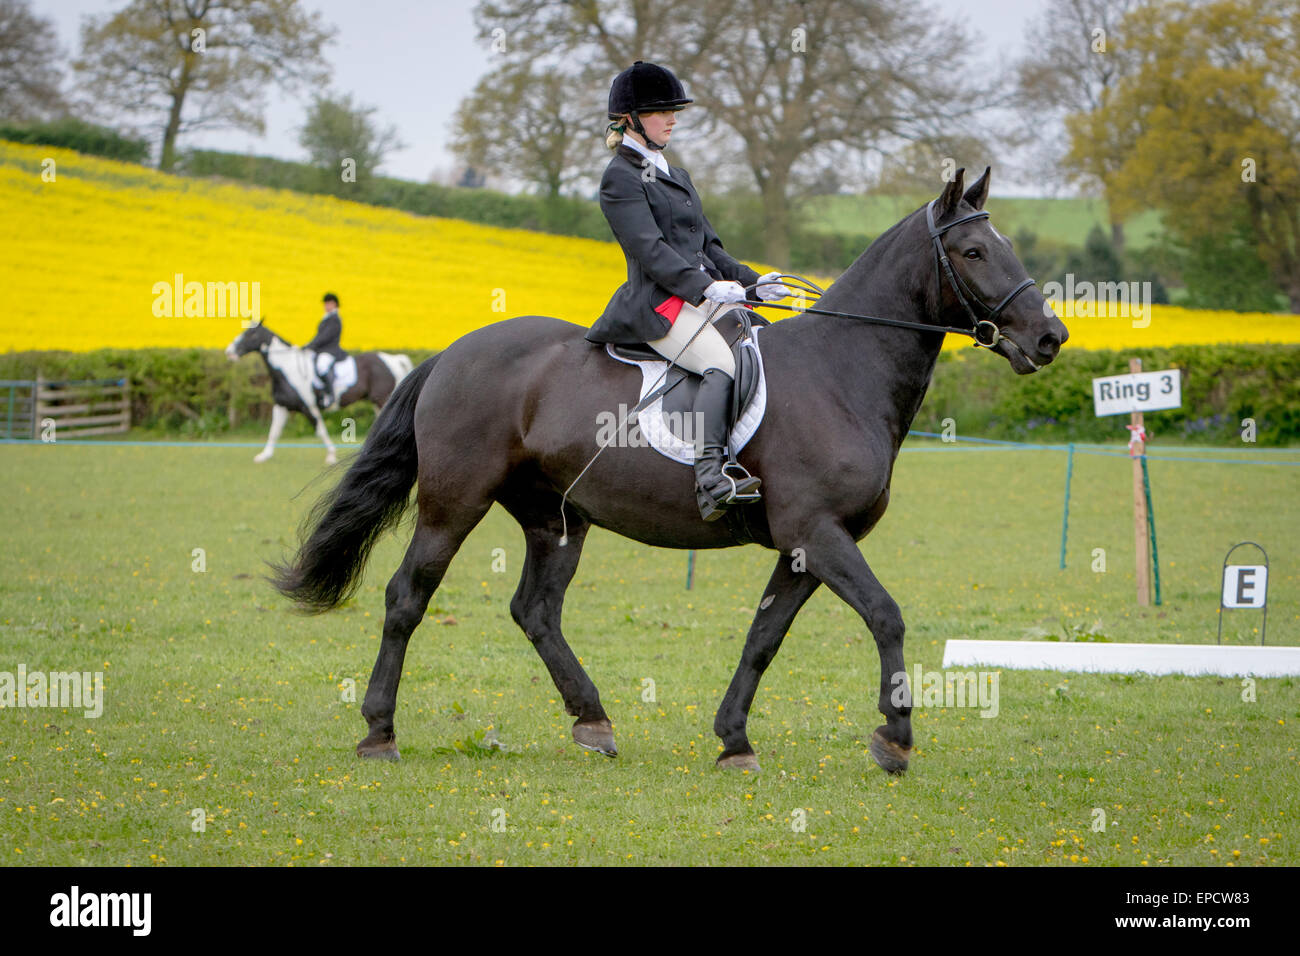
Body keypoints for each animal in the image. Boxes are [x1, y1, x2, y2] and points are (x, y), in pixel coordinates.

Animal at [224, 321, 414, 465]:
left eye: (251, 334)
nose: (229, 352)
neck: (287, 369)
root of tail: (393, 359)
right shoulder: (281, 406)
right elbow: (274, 431)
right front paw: (264, 456)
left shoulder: (308, 407)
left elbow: (320, 430)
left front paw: (331, 456)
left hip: (381, 400)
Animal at [271, 168, 1068, 775]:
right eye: (972, 250)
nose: (1050, 338)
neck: (843, 372)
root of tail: (451, 353)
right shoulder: (819, 532)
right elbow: (885, 614)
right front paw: (894, 739)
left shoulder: (804, 547)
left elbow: (763, 638)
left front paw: (734, 742)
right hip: (453, 502)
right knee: (408, 596)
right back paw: (379, 732)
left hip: (556, 517)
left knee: (535, 610)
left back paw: (593, 722)